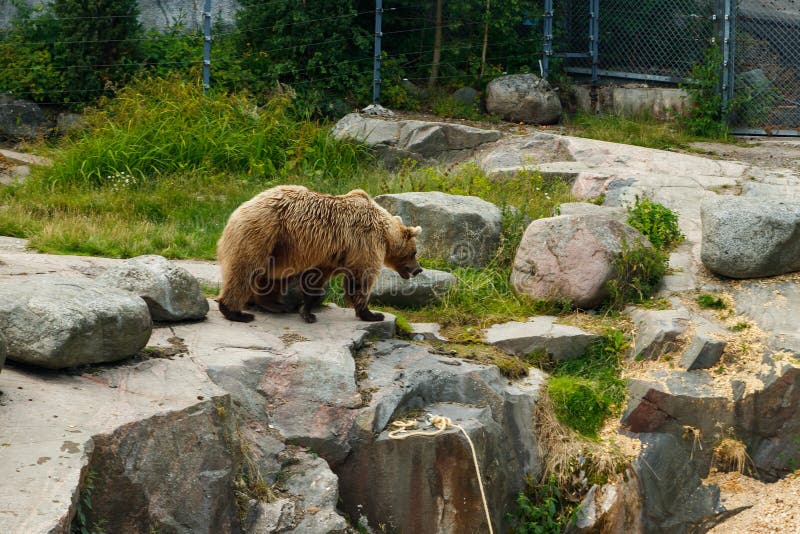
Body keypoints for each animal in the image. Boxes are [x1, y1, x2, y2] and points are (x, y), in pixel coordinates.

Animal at [216, 185, 422, 323]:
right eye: (414, 252)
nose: (418, 270)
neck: (385, 234)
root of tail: (239, 210)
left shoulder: (331, 254)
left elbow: (314, 280)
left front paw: (307, 311)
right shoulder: (365, 243)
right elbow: (361, 279)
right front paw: (372, 314)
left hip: (280, 249)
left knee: (273, 276)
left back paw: (277, 305)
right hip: (262, 235)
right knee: (245, 271)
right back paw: (236, 312)